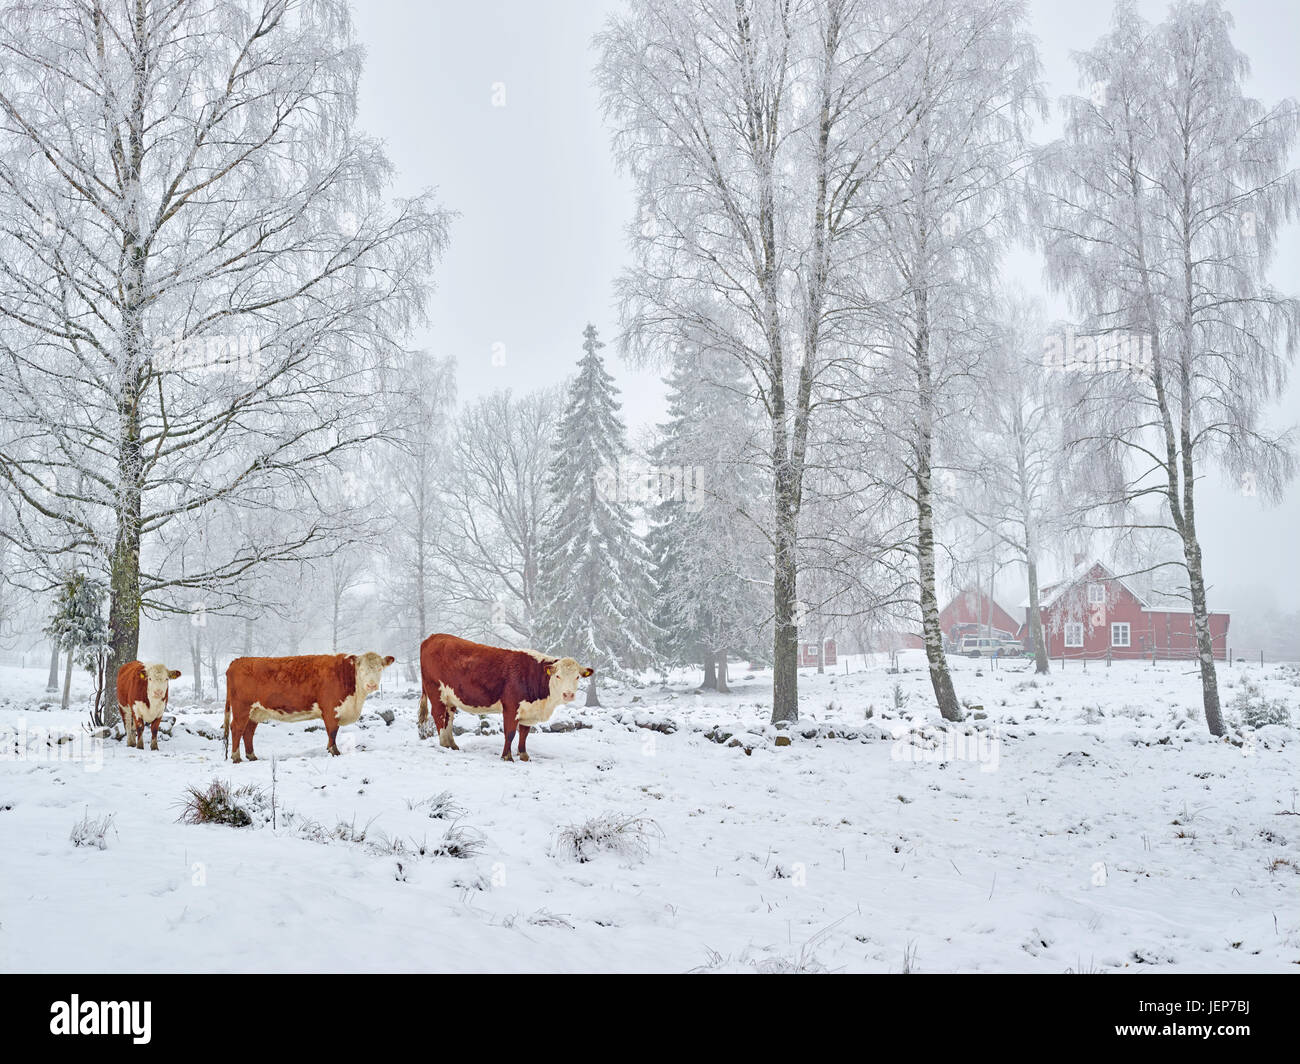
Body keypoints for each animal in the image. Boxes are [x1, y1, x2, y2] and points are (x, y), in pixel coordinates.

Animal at [223, 652, 395, 763]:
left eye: (380, 668)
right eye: (362, 669)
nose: (371, 685)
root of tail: (238, 661)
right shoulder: (330, 710)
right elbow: (332, 732)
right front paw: (334, 752)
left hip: (256, 711)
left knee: (248, 732)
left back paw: (252, 756)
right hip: (242, 708)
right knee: (237, 728)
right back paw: (236, 757)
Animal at [417, 633, 593, 762]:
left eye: (577, 677)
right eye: (558, 676)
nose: (568, 694)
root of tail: (432, 637)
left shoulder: (527, 709)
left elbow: (524, 733)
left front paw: (524, 755)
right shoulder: (511, 706)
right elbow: (510, 733)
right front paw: (507, 757)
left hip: (450, 698)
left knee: (448, 718)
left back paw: (452, 745)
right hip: (436, 691)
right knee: (439, 716)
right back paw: (443, 744)